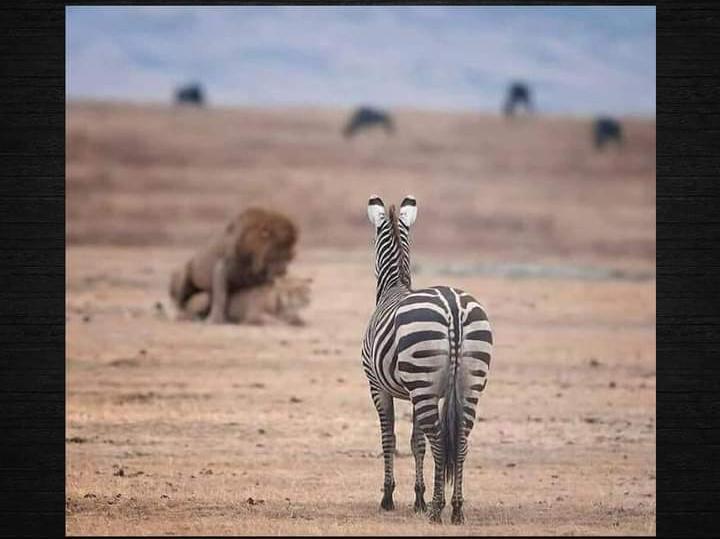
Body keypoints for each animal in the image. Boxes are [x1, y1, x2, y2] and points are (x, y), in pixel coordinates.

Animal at [169, 207, 298, 323]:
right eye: (278, 253)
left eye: (289, 257)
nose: (283, 271)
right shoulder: (222, 266)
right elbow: (221, 296)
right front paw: (215, 320)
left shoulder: (262, 280)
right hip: (183, 275)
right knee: (181, 303)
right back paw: (184, 316)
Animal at [177, 276, 312, 326]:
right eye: (292, 290)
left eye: (304, 289)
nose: (305, 300)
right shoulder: (252, 315)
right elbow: (271, 319)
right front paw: (283, 322)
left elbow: (297, 319)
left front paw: (299, 321)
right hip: (206, 296)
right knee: (185, 315)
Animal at [361, 195, 493, 524]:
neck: (394, 287)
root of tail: (453, 307)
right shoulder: (417, 392)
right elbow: (415, 442)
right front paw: (418, 498)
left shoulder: (378, 388)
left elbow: (390, 439)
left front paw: (389, 497)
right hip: (468, 385)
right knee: (460, 440)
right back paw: (455, 508)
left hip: (422, 383)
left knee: (439, 441)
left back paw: (437, 509)